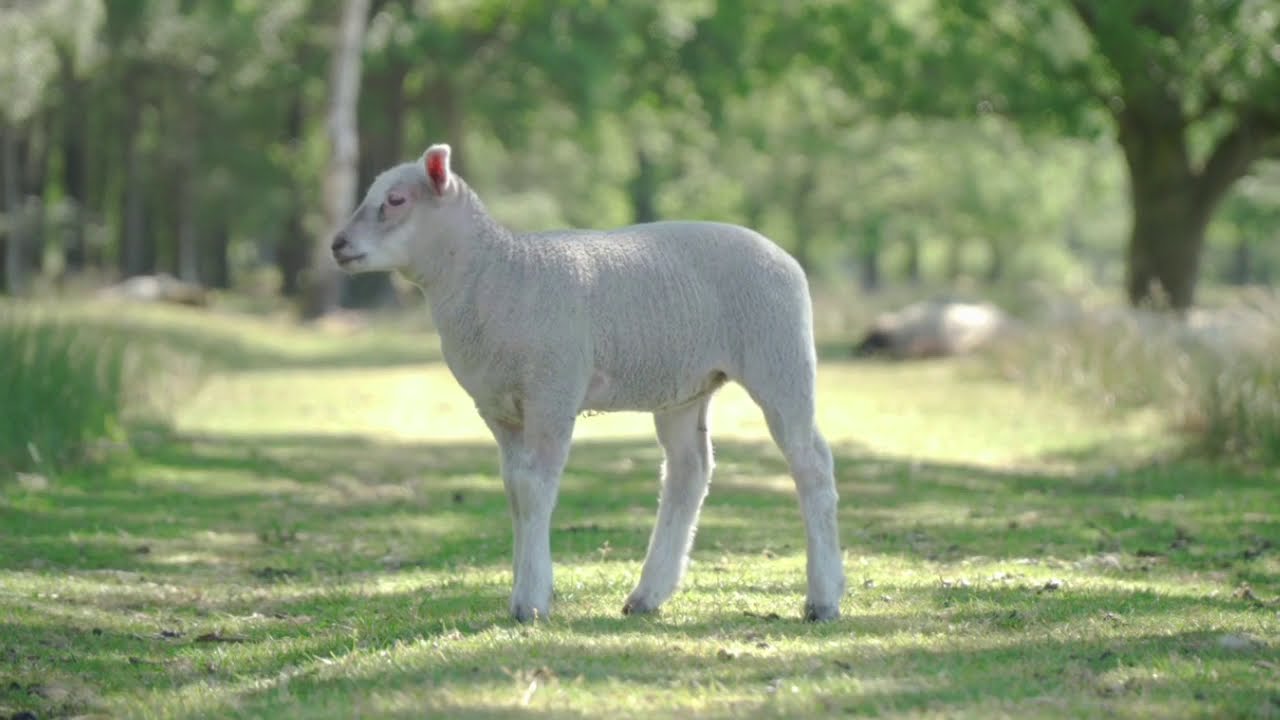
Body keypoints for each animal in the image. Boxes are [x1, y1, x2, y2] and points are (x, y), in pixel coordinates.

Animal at [330, 143, 845, 622]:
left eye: (395, 200)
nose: (336, 244)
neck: (498, 275)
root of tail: (786, 258)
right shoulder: (498, 409)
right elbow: (514, 491)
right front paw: (526, 589)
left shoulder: (552, 392)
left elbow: (535, 489)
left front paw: (531, 601)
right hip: (685, 385)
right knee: (689, 470)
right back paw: (648, 594)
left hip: (779, 358)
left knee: (812, 464)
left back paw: (823, 599)